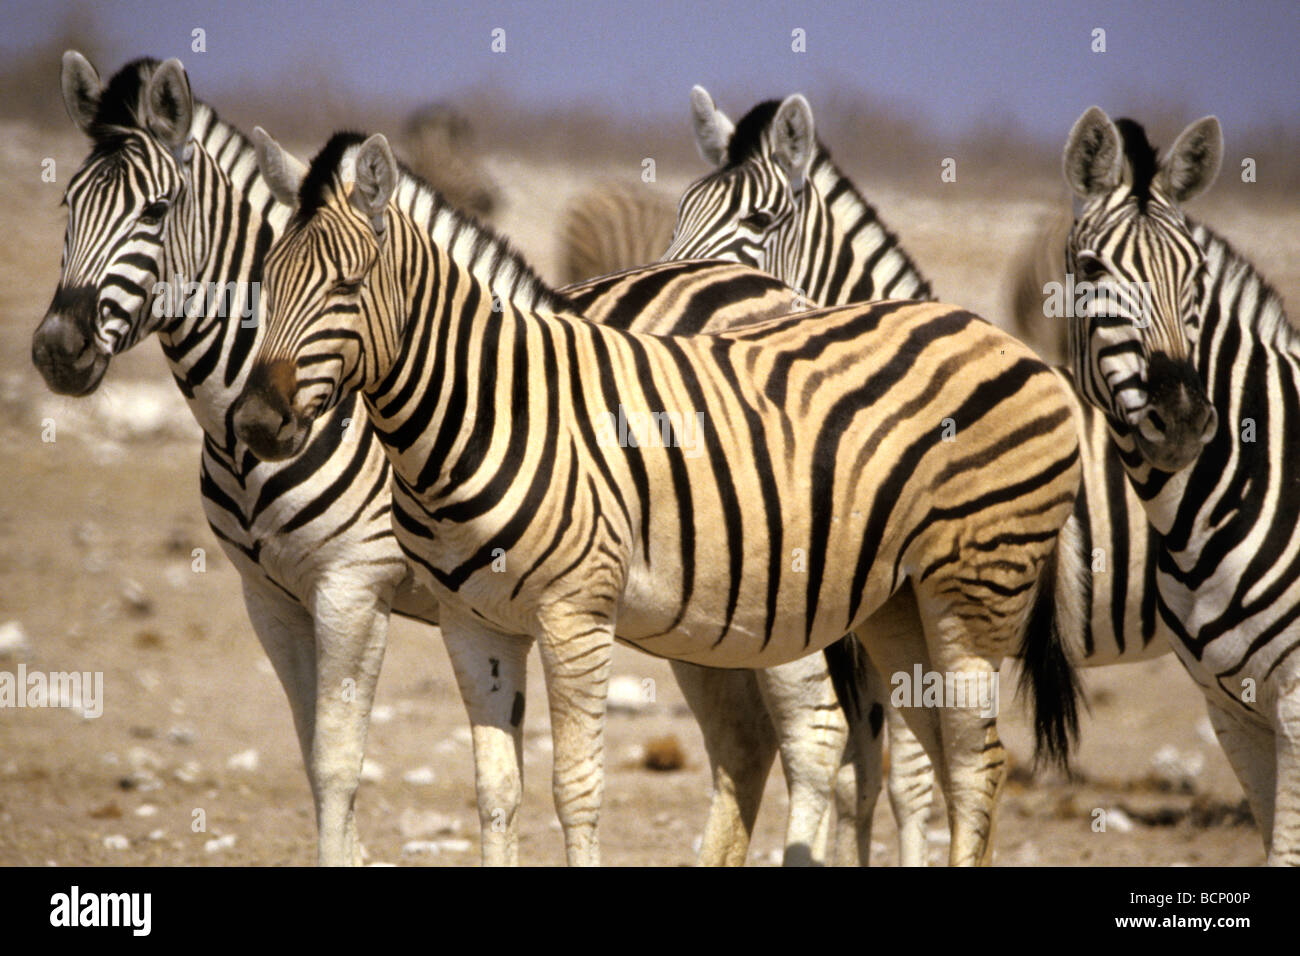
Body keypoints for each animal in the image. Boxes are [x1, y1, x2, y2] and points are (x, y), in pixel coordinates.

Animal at [29, 53, 827, 867]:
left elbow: (338, 763)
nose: (58, 349)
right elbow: (314, 760)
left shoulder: (354, 586)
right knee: (748, 740)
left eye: (155, 210)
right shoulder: (269, 597)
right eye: (66, 201)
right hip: (705, 608)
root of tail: (778, 289)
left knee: (816, 743)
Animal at [231, 128, 1085, 866]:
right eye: (264, 282)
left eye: (347, 286)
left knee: (976, 765)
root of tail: (1005, 340)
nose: (258, 422)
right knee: (940, 754)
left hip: (975, 590)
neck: (483, 411)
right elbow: (496, 791)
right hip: (899, 601)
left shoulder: (574, 612)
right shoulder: (472, 622)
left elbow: (574, 789)